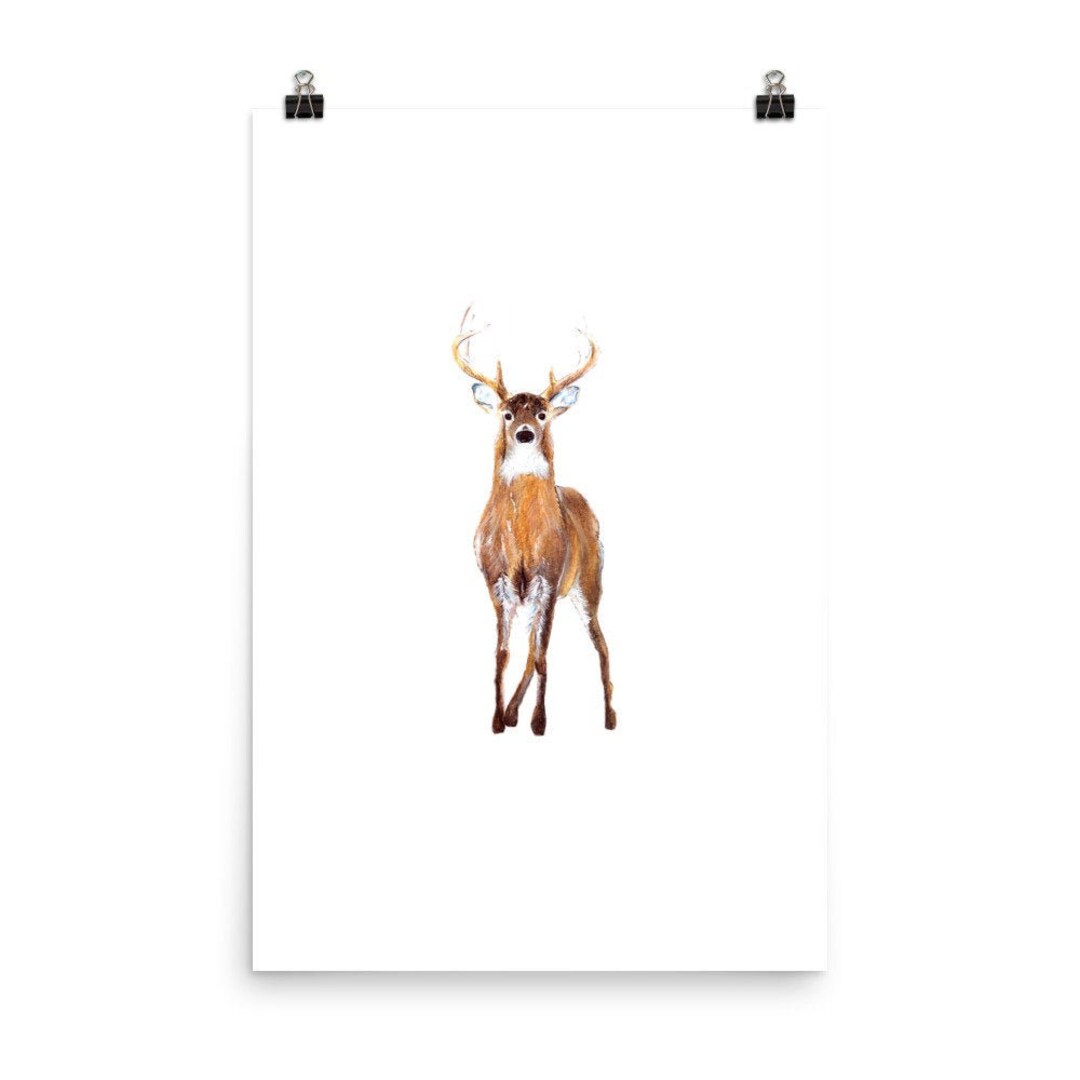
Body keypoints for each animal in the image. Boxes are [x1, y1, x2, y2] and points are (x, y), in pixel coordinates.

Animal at [453, 309, 617, 736]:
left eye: (542, 413)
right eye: (507, 413)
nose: (525, 434)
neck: (523, 539)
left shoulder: (549, 575)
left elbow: (542, 656)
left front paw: (540, 723)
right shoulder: (498, 581)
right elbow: (504, 654)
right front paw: (497, 721)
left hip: (587, 580)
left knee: (600, 643)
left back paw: (610, 717)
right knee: (530, 648)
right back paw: (512, 712)